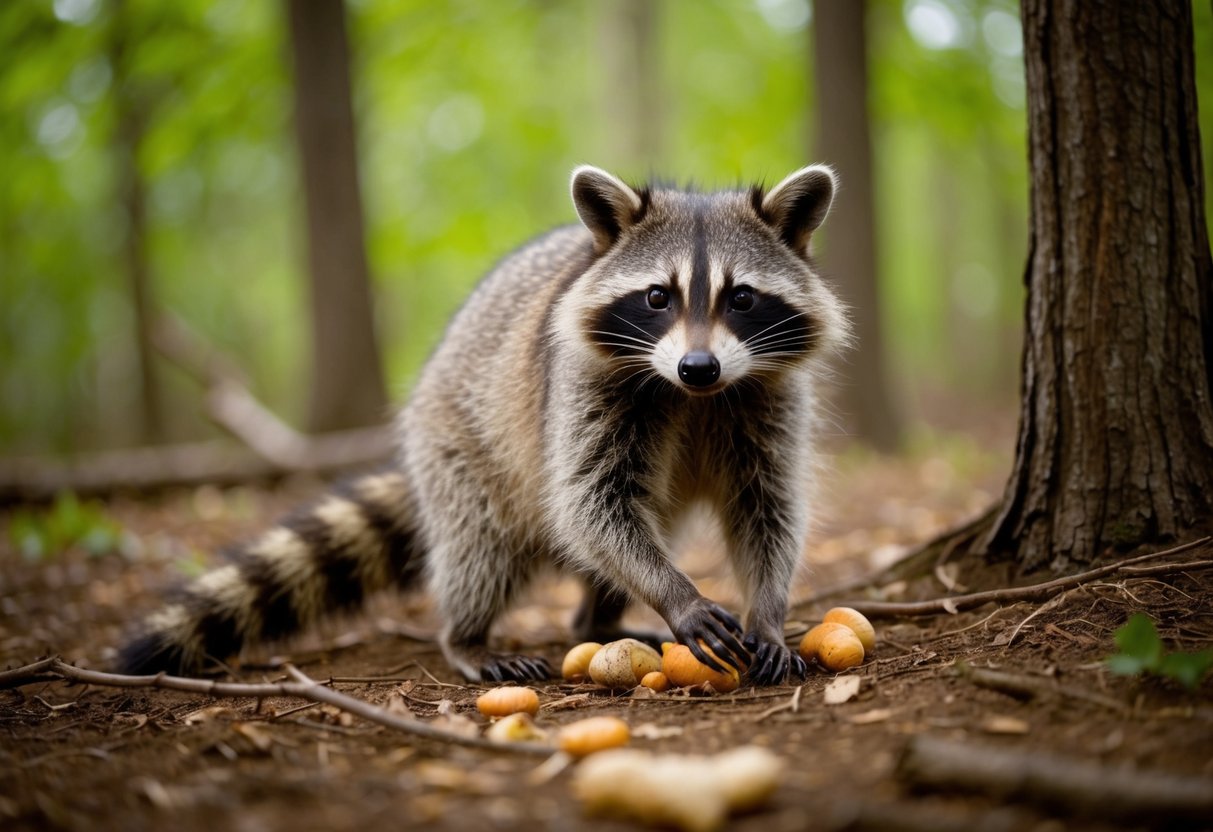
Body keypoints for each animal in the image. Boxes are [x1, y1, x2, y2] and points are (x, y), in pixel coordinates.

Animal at [119, 164, 847, 686]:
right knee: (482, 546)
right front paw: (678, 594)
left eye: (742, 298)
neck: (693, 396)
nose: (698, 366)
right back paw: (468, 634)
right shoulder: (584, 387)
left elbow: (767, 506)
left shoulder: (767, 398)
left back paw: (595, 620)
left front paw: (767, 612)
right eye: (656, 297)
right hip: (456, 443)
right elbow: (591, 503)